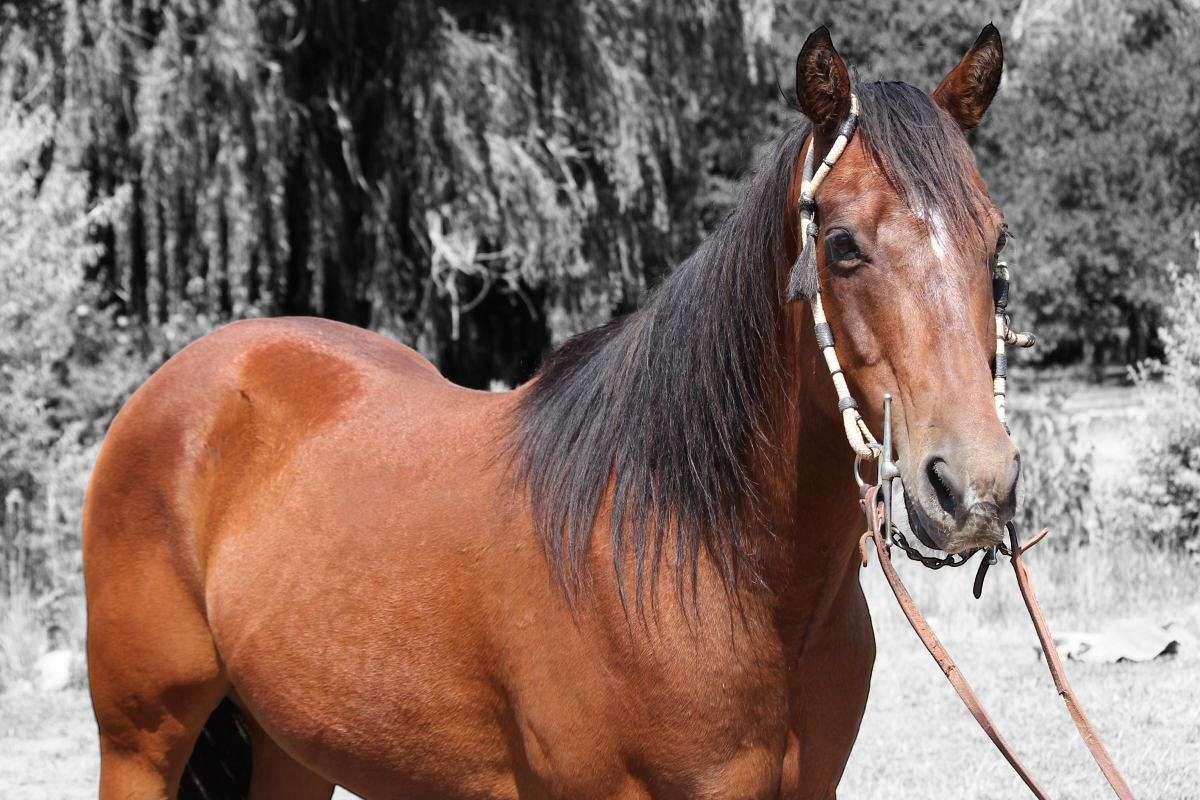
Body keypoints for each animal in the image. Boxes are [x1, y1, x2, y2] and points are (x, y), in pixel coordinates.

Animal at [84, 24, 1017, 800]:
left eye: (996, 241)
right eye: (843, 246)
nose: (972, 488)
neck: (696, 555)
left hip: (292, 750)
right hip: (141, 743)